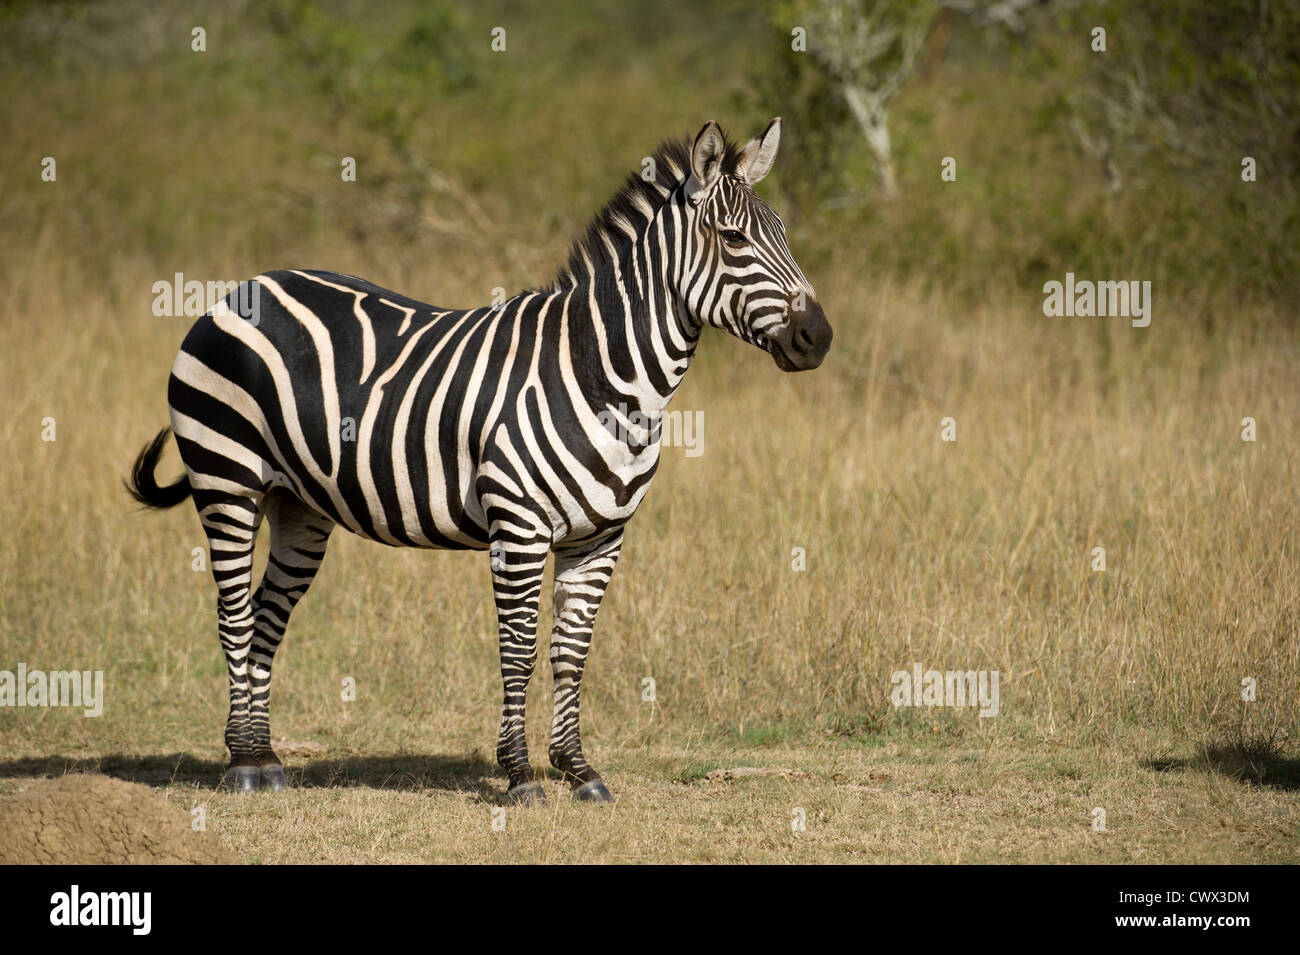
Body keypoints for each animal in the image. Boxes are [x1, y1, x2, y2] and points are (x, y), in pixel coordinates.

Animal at [127, 119, 832, 805]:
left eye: (784, 235)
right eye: (733, 240)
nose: (819, 338)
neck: (605, 376)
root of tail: (241, 289)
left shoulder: (600, 539)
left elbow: (572, 653)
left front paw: (578, 769)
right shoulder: (519, 528)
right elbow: (519, 650)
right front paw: (520, 776)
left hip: (298, 504)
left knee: (266, 618)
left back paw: (263, 756)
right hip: (226, 477)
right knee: (234, 615)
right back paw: (244, 765)